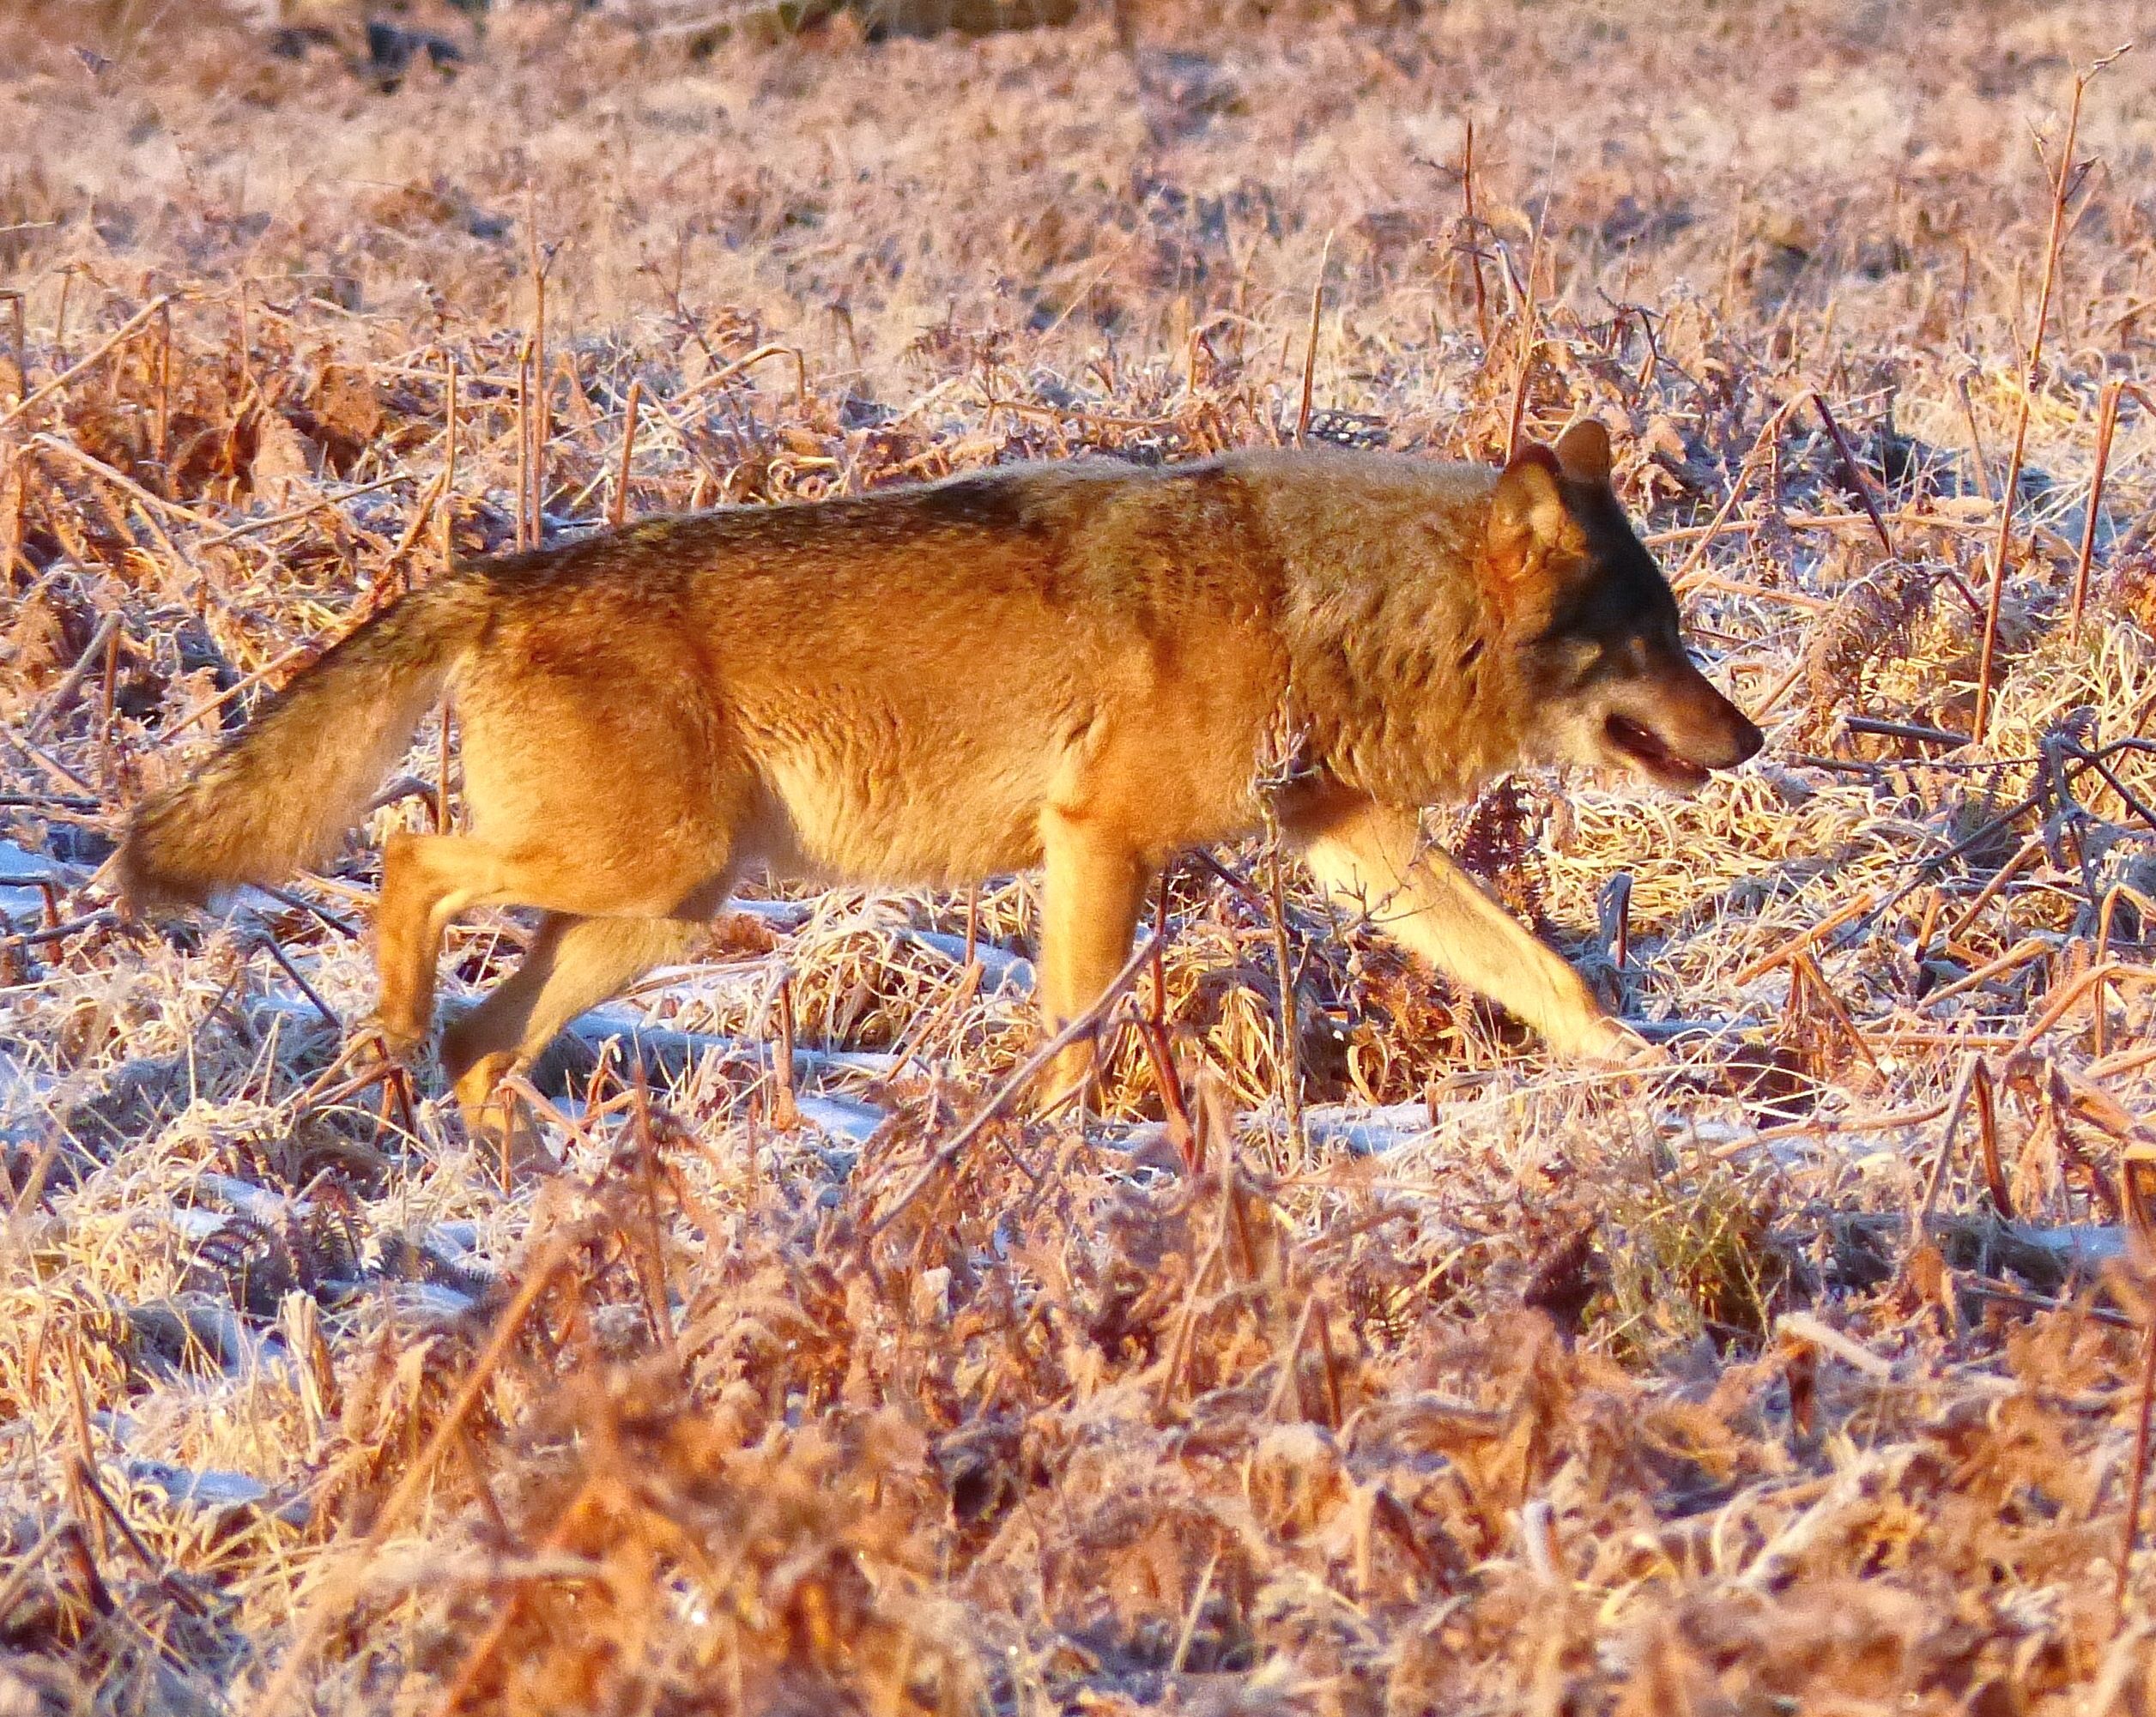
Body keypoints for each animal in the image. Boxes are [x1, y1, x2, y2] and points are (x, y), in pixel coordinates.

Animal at [117, 421, 1762, 1130]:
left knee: (484, 1038)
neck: (1310, 601)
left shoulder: (1351, 843)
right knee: (406, 870)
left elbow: (1541, 969)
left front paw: (1644, 1069)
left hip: (656, 911)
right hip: (645, 876)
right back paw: (391, 1041)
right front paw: (1064, 1162)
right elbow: (1080, 1033)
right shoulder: (1096, 845)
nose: (1749, 740)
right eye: (1653, 641)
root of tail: (497, 576)